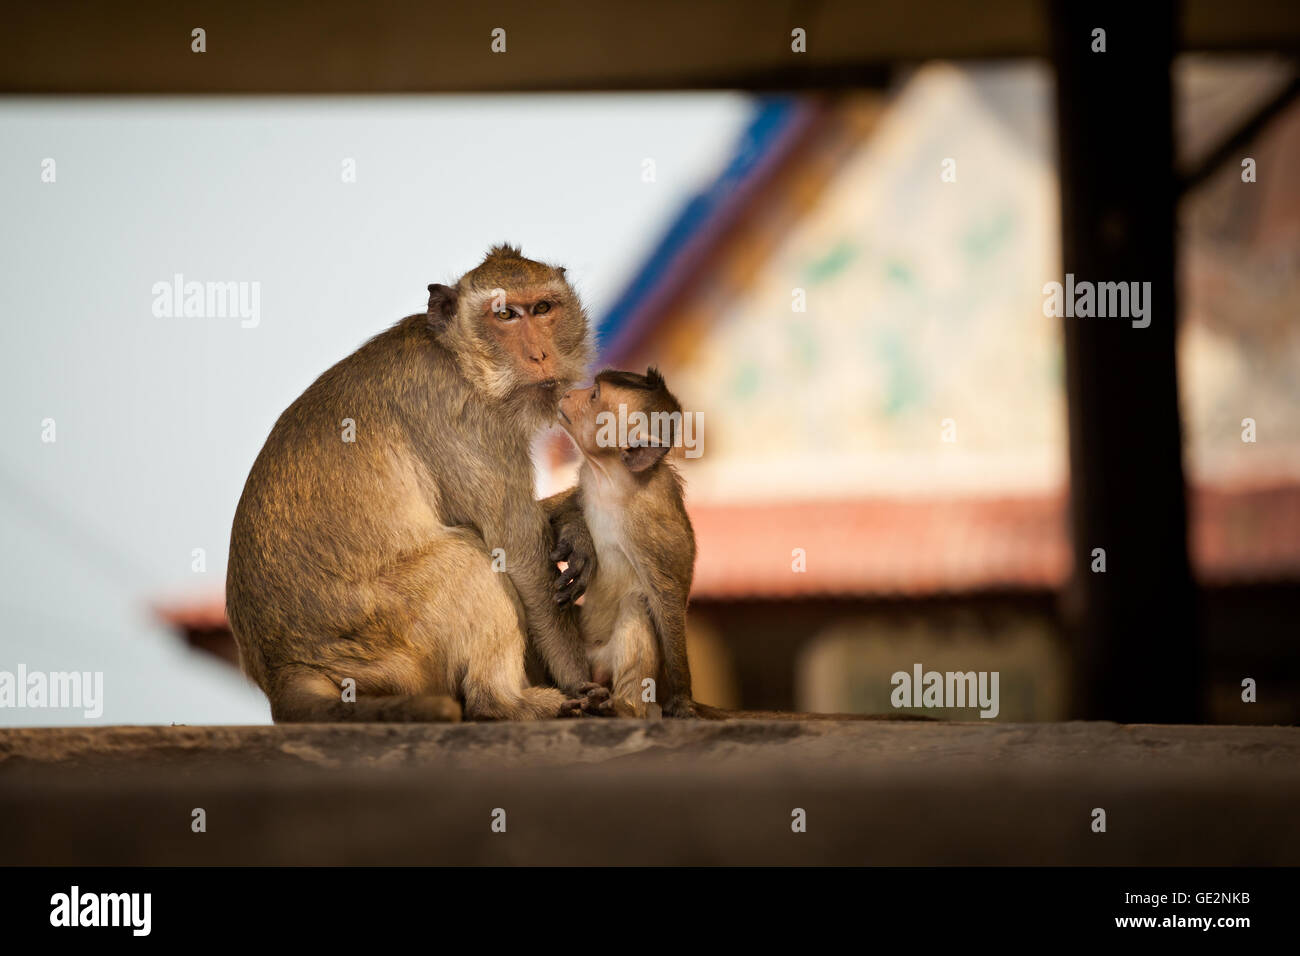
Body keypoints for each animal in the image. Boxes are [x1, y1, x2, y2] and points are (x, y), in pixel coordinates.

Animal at [226, 244, 613, 723]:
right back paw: (507, 703)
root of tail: (283, 670)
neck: (458, 358)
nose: (540, 355)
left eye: (543, 309)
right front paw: (580, 681)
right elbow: (516, 546)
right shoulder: (464, 414)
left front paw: (574, 525)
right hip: (385, 635)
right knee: (464, 558)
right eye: (505, 315)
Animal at [552, 367, 699, 718]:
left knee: (637, 602)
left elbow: (666, 595)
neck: (611, 477)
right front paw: (576, 539)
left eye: (593, 395)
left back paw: (620, 706)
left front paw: (682, 699)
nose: (570, 394)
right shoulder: (587, 480)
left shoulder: (645, 522)